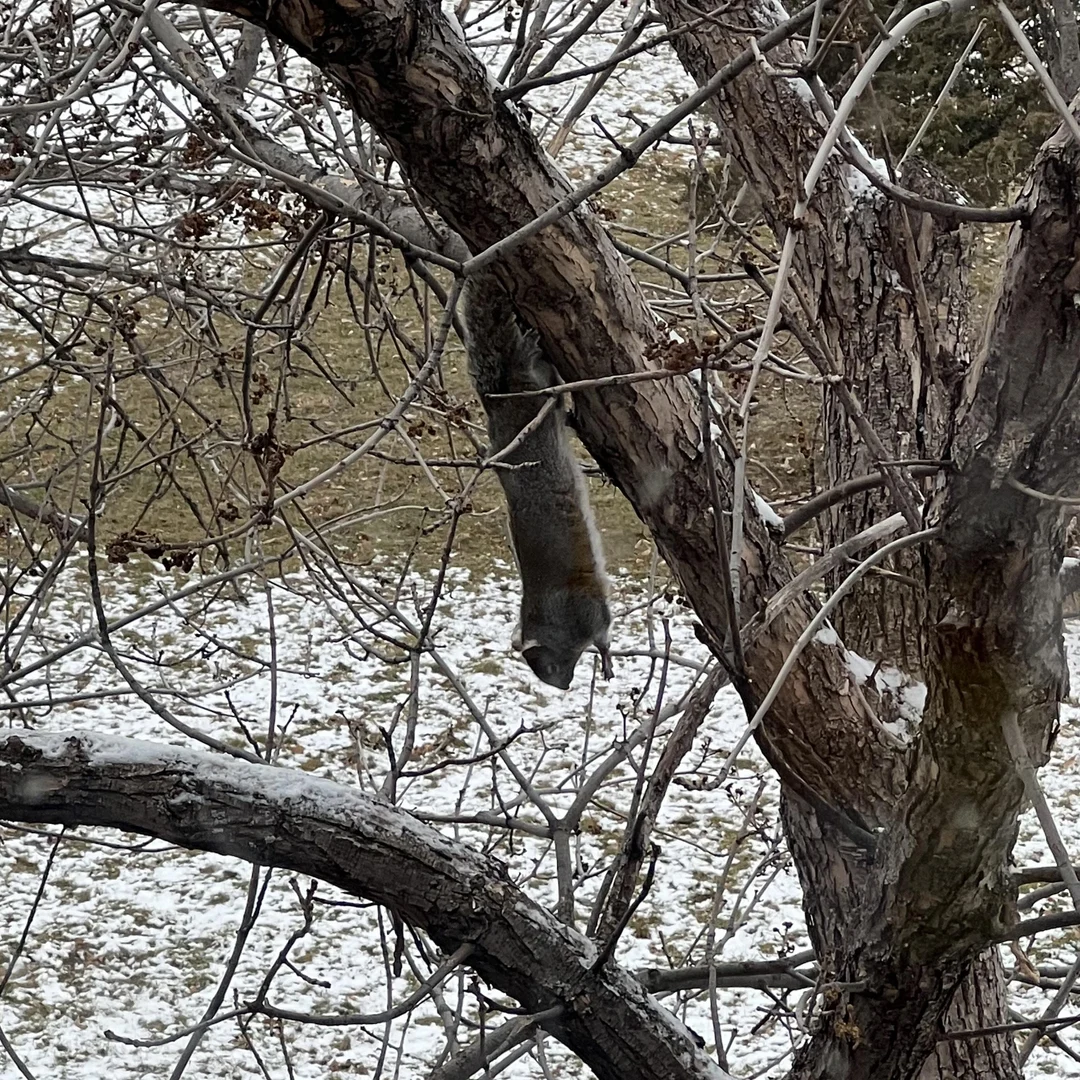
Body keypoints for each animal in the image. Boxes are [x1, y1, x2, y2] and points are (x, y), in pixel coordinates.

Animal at [460, 266, 613, 690]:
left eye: (547, 666)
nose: (563, 685)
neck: (548, 617)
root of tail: (497, 400)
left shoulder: (584, 607)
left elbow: (602, 628)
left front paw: (605, 654)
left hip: (530, 394)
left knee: (530, 375)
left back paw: (527, 351)